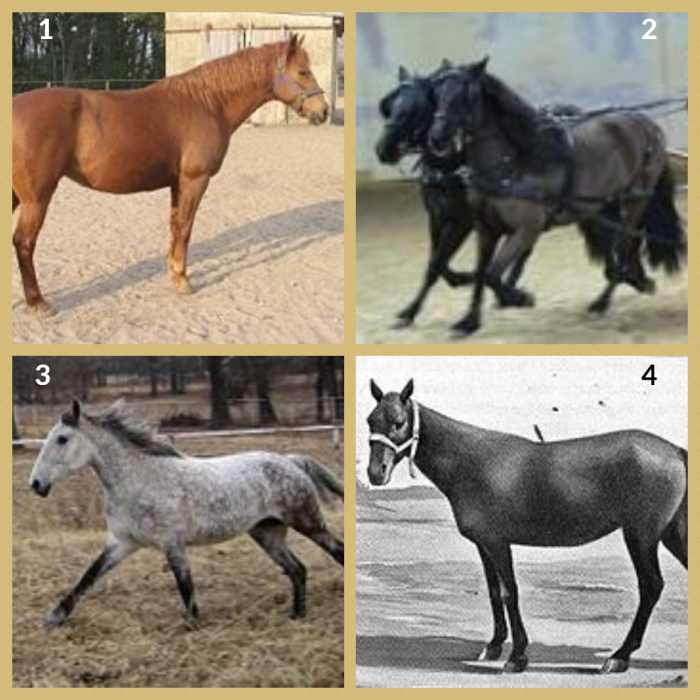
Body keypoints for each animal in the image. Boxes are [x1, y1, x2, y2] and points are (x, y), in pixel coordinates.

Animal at [12, 33, 328, 315]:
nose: (323, 111)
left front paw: (174, 272)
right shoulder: (194, 180)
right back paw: (37, 302)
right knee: (24, 242)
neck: (207, 103)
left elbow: (175, 225)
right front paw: (183, 280)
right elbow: (186, 228)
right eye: (303, 71)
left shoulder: (178, 183)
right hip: (36, 198)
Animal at [28, 399, 344, 626]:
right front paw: (55, 617)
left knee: (336, 551)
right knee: (297, 569)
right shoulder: (122, 543)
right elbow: (89, 576)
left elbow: (185, 586)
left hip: (308, 522)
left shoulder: (172, 544)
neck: (141, 480)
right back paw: (297, 615)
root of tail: (292, 461)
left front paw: (192, 624)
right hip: (267, 533)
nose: (36, 484)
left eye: (62, 439)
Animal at [366, 379, 687, 674]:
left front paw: (517, 656)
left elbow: (510, 592)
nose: (375, 473)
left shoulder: (498, 542)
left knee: (651, 586)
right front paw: (494, 646)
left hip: (641, 535)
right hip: (671, 533)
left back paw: (620, 656)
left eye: (399, 422)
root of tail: (676, 451)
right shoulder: (484, 544)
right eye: (370, 420)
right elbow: (494, 591)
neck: (472, 461)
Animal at [427, 57, 685, 334]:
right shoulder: (486, 229)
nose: (437, 137)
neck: (515, 162)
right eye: (438, 94)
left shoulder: (527, 229)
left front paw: (520, 298)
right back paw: (637, 281)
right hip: (606, 204)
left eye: (466, 95)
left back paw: (603, 301)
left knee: (625, 243)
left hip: (634, 199)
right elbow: (481, 276)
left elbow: (492, 275)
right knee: (628, 242)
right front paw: (469, 321)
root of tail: (650, 126)